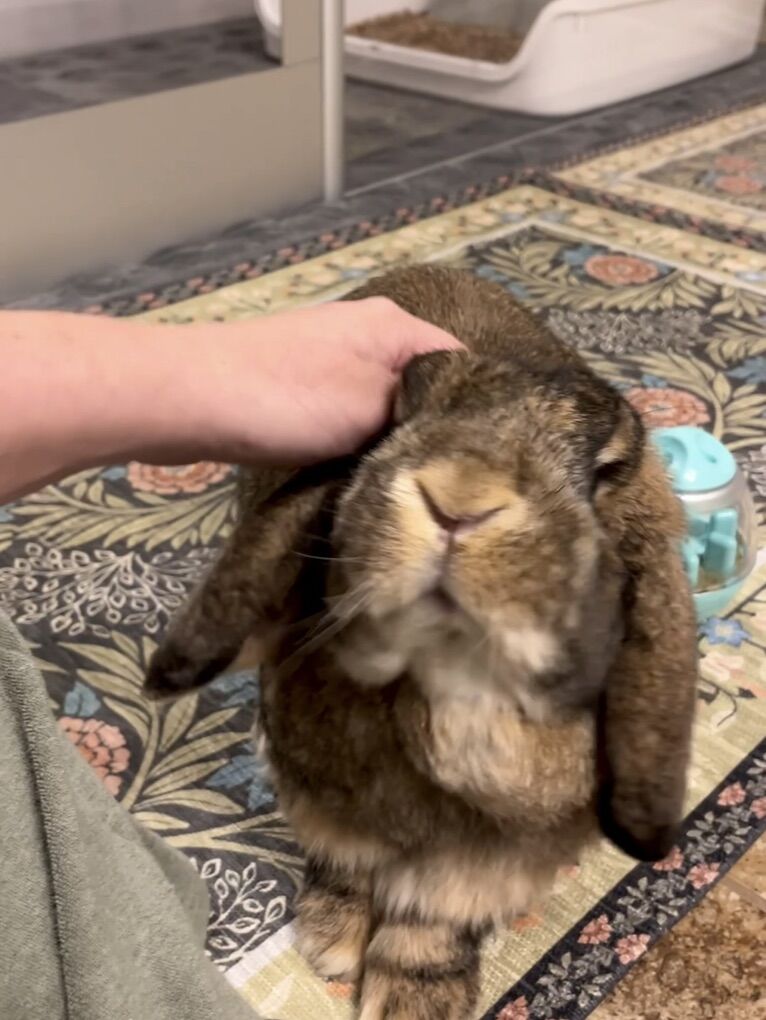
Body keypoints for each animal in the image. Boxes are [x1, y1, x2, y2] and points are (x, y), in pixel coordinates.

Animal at [144, 265, 698, 1020]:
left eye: (606, 470)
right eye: (402, 415)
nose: (460, 499)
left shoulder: (488, 860)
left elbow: (433, 918)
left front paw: (414, 998)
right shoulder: (330, 810)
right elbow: (348, 865)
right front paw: (333, 940)